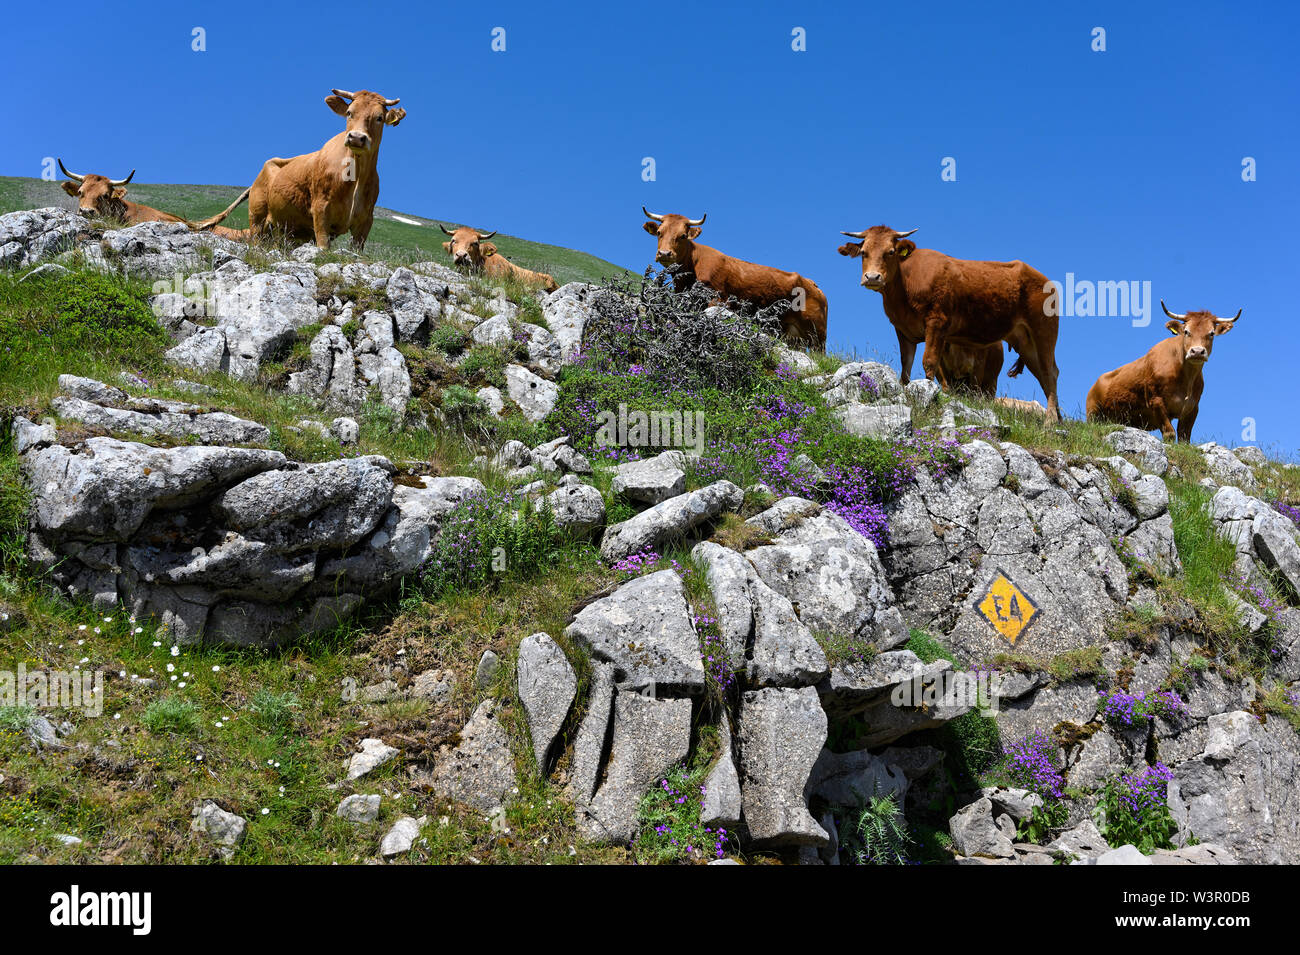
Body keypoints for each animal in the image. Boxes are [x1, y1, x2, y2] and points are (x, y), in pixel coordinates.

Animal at [243, 89, 406, 250]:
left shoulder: (365, 220)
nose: (356, 137)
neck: (356, 175)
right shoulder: (321, 209)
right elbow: (323, 245)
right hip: (257, 218)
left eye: (379, 118)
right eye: (349, 112)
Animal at [642, 208, 828, 350]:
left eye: (682, 236)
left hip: (818, 335)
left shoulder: (716, 299)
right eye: (659, 233)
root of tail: (813, 284)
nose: (664, 253)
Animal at [837, 225, 1060, 422]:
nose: (872, 277)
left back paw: (1050, 422)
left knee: (1050, 373)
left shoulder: (937, 324)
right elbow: (905, 367)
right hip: (1025, 342)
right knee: (1045, 376)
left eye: (890, 252)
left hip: (1044, 332)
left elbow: (929, 362)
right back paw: (1058, 420)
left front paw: (925, 395)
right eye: (864, 252)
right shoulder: (903, 330)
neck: (905, 286)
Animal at [1086, 301, 1241, 442]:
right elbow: (1169, 433)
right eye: (1186, 331)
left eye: (1211, 333)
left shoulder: (1192, 408)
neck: (1186, 380)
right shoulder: (1156, 401)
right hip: (1093, 415)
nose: (1197, 351)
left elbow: (1184, 438)